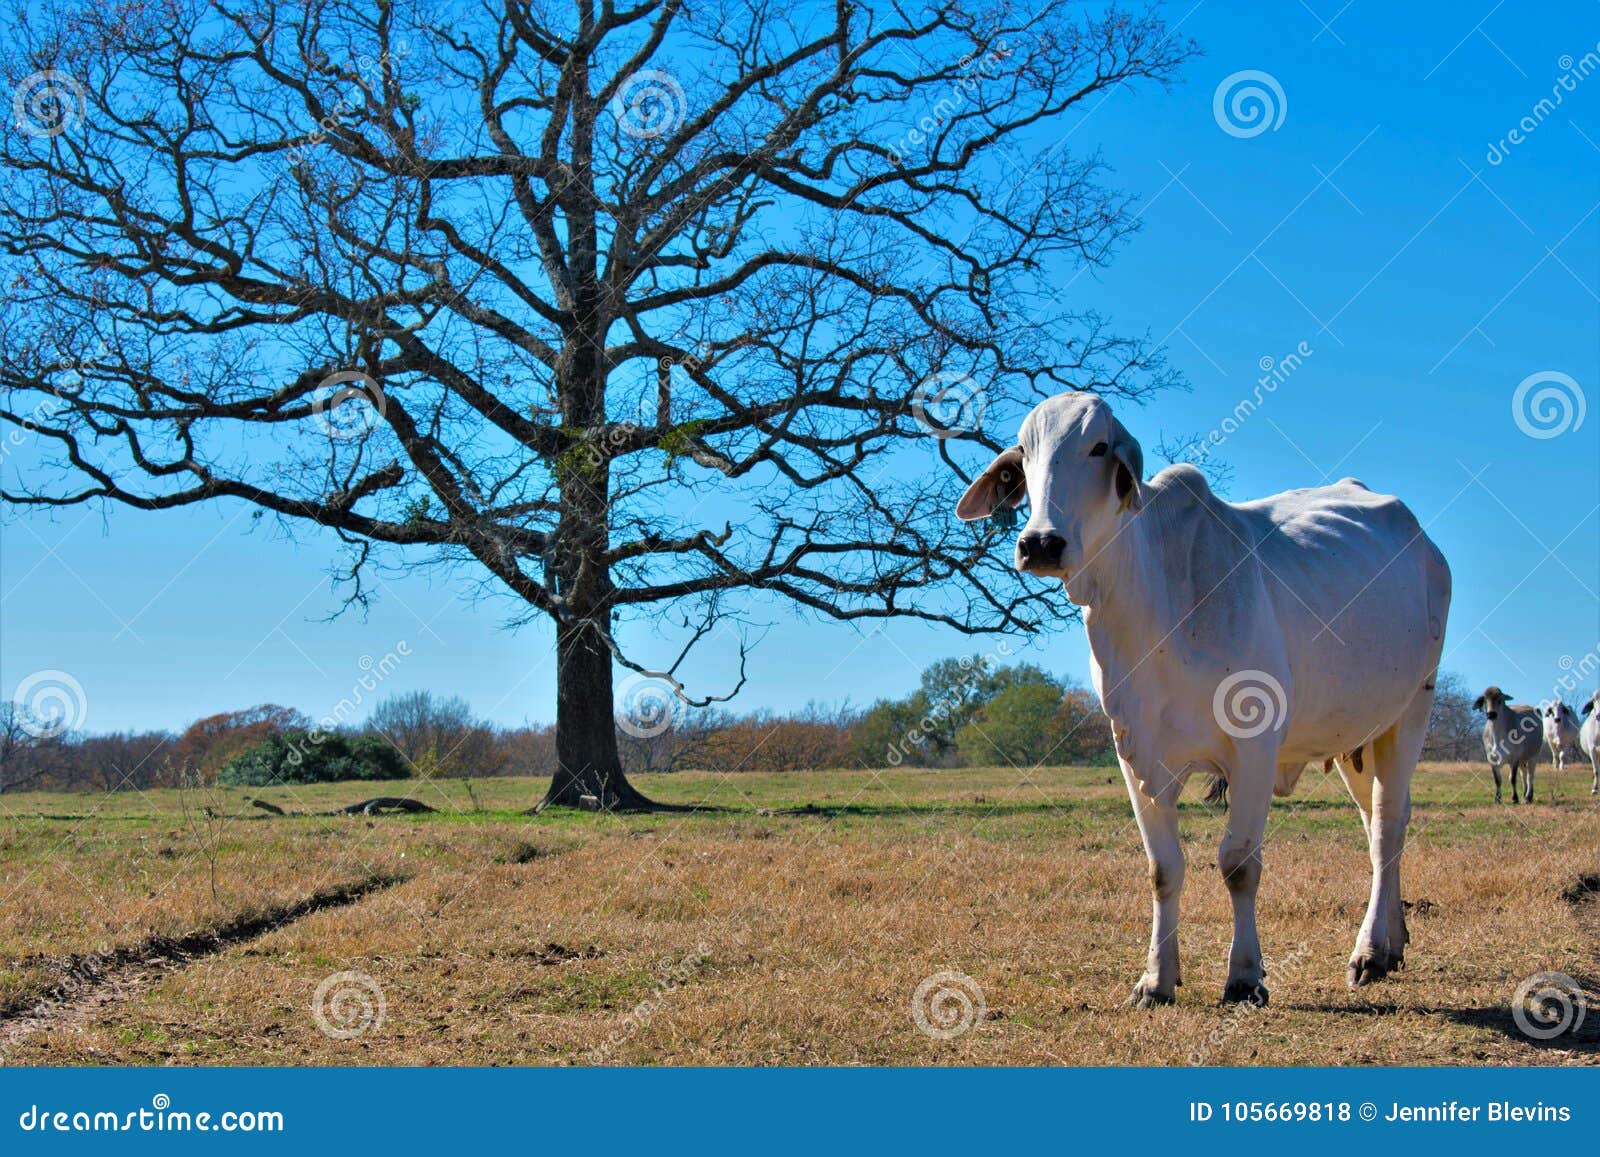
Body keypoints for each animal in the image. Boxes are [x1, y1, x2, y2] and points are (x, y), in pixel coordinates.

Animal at [956, 391, 1451, 1005]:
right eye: (1024, 454)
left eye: (1099, 446)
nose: (1040, 543)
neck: (1156, 607)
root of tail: (1424, 542)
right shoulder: (1136, 753)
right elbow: (1163, 869)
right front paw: (1156, 979)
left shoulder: (1255, 749)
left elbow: (1239, 865)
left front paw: (1244, 977)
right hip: (1355, 734)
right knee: (1378, 821)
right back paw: (1393, 940)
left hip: (1409, 711)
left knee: (1387, 827)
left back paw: (1370, 952)